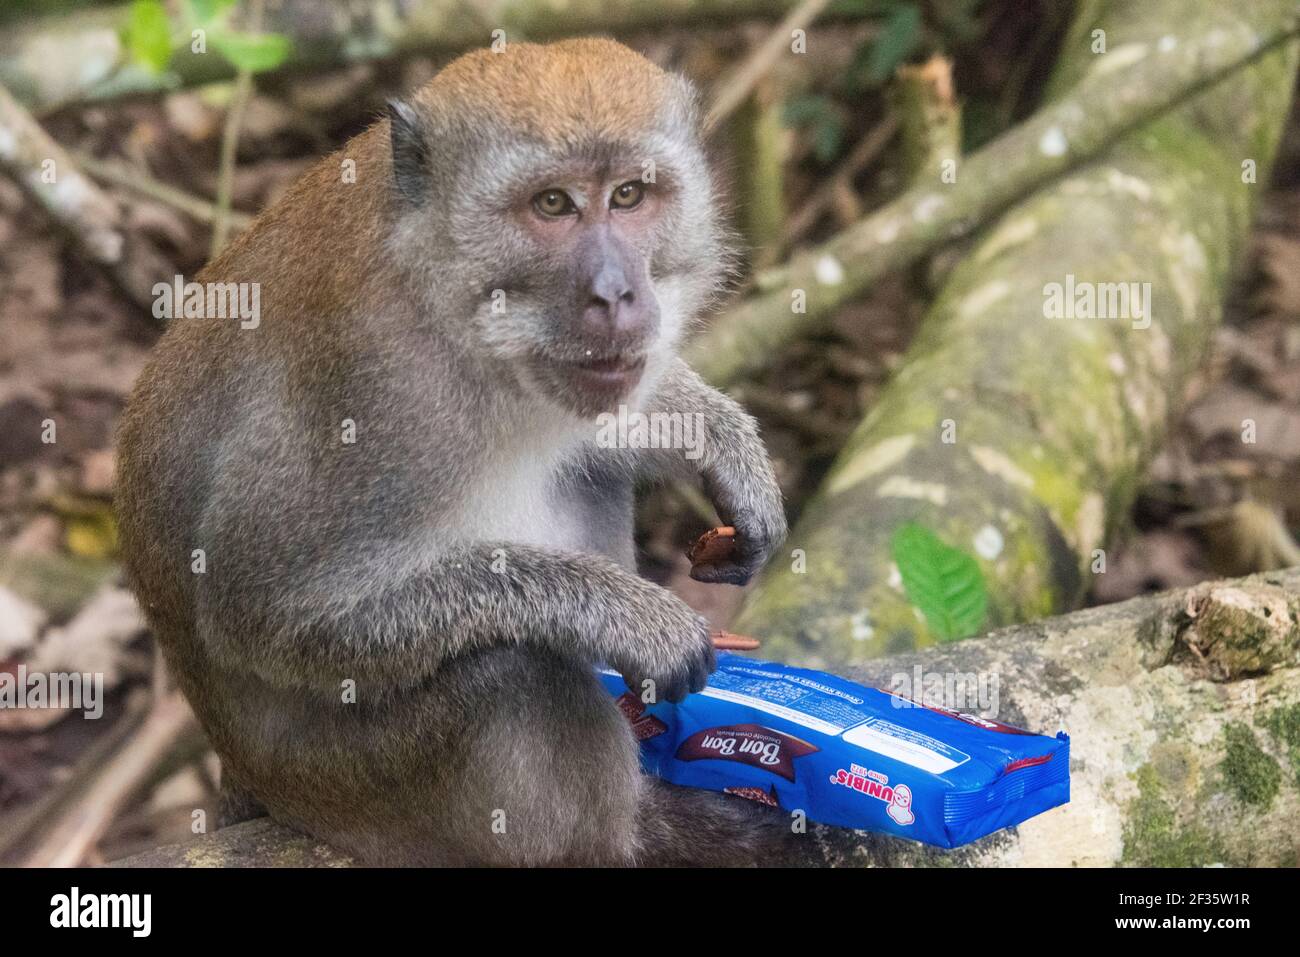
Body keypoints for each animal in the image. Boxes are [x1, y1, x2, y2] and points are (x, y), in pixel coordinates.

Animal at [116, 37, 789, 866]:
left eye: (630, 195)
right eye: (553, 205)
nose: (614, 295)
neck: (452, 303)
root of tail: (247, 775)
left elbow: (606, 419)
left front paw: (722, 442)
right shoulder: (368, 389)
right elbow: (261, 611)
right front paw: (626, 617)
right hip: (352, 786)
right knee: (513, 673)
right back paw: (643, 832)